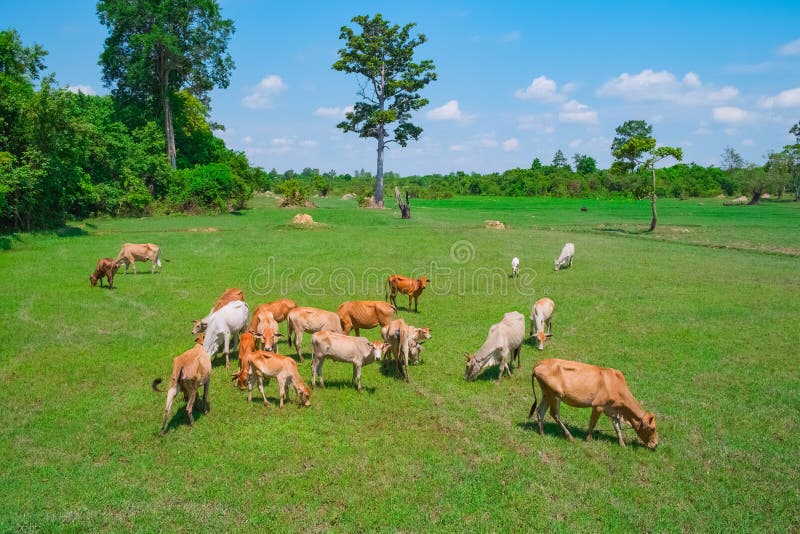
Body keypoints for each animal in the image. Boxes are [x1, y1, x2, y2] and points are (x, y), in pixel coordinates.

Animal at [529, 358, 658, 449]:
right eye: (652, 429)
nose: (656, 444)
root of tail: (540, 363)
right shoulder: (598, 406)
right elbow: (593, 423)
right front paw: (589, 439)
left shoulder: (613, 410)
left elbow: (617, 427)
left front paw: (622, 445)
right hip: (555, 395)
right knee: (554, 414)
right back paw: (570, 437)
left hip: (546, 393)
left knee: (540, 411)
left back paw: (542, 433)